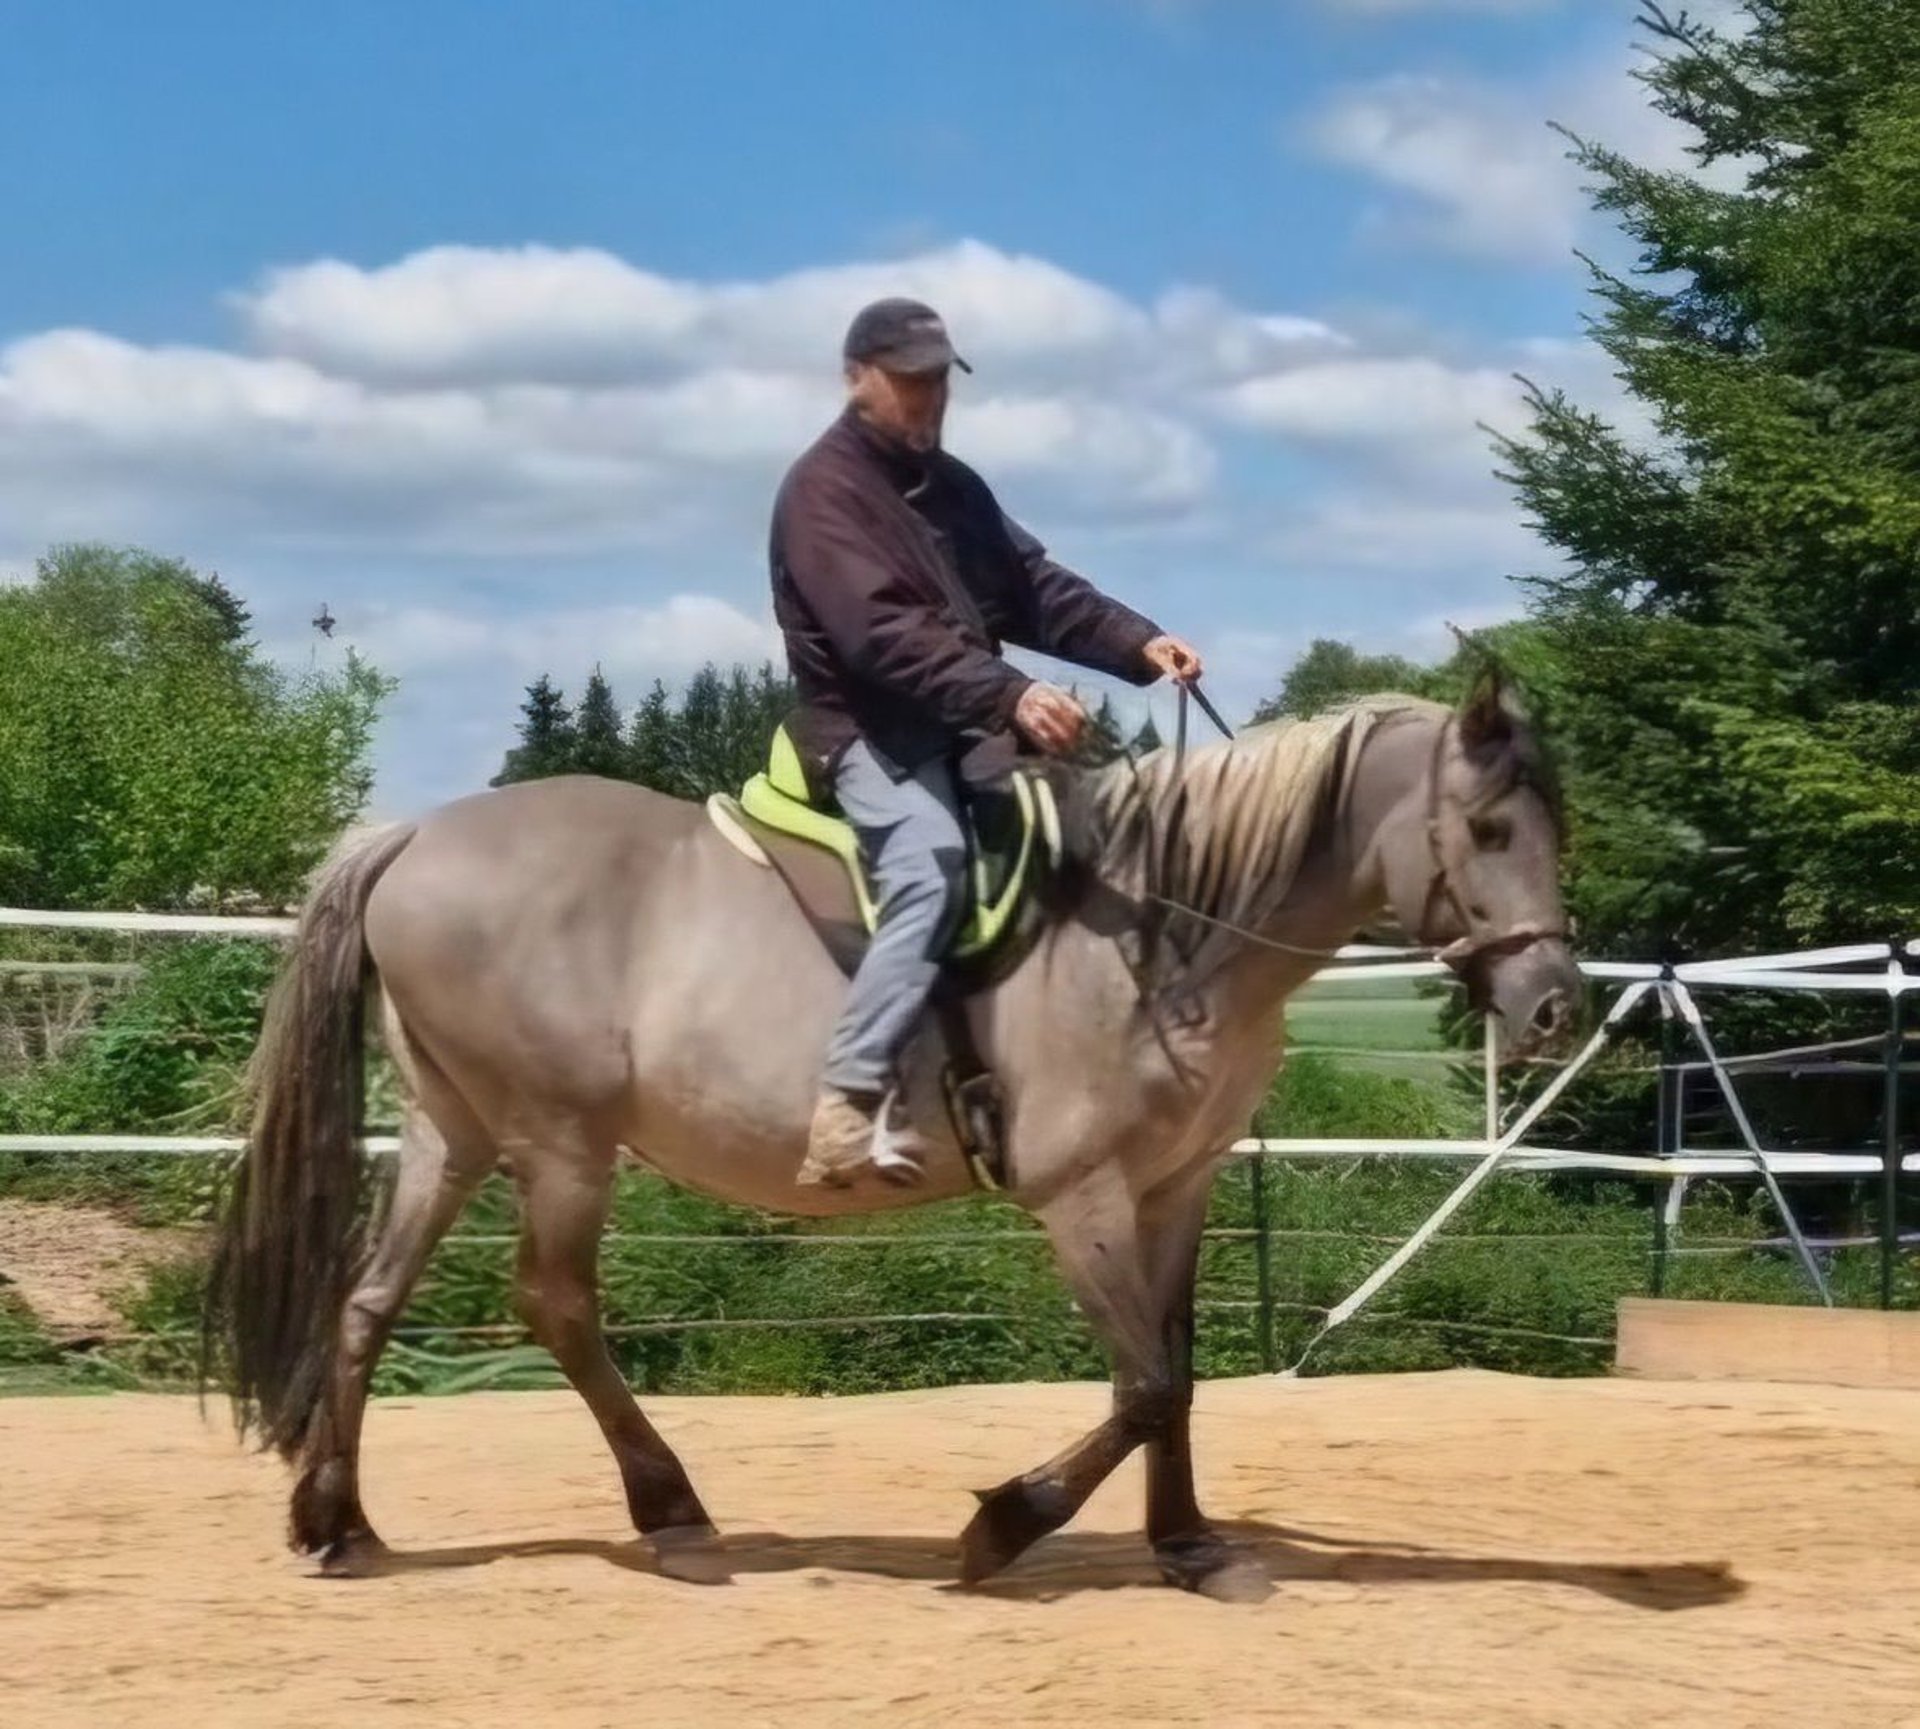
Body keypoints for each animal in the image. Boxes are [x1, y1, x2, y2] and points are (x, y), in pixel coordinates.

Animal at [203, 672, 1580, 1599]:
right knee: (556, 1305)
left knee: (366, 1300)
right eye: (1491, 831)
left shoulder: (1176, 1187)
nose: (1555, 1005)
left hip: (454, 1132)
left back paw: (340, 1523)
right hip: (559, 1142)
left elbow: (1178, 1373)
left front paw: (1189, 1544)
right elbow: (1143, 1381)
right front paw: (1003, 1525)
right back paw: (672, 1513)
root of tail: (412, 837)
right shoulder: (1079, 1194)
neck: (1161, 930)